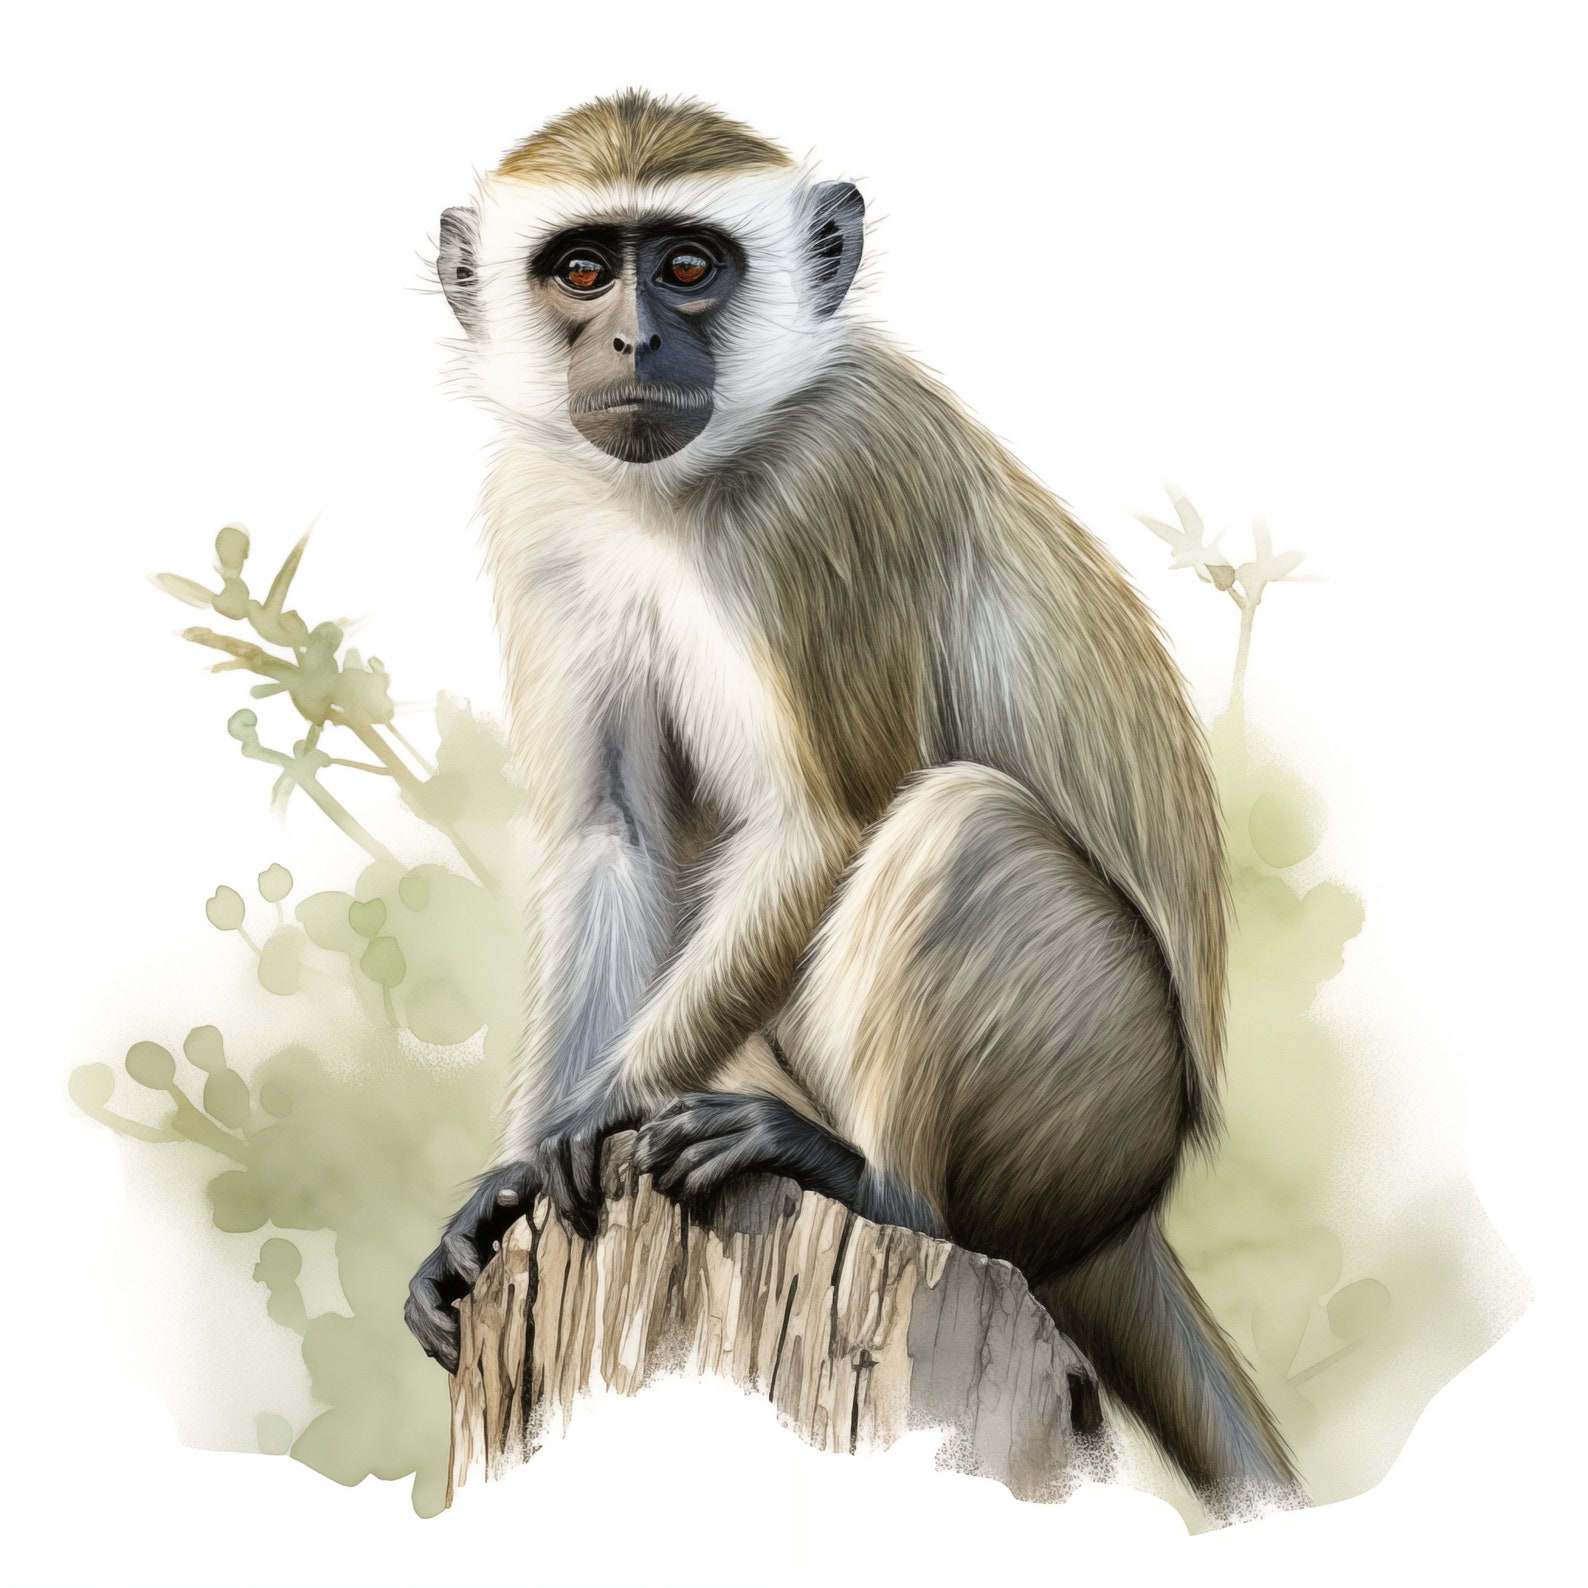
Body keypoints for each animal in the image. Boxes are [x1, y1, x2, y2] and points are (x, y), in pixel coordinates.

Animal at [404, 88, 1301, 1513]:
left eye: (690, 266)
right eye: (583, 271)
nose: (632, 337)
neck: (678, 492)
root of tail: (1129, 1209)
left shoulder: (829, 484)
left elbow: (825, 822)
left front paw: (600, 1115)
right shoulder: (541, 508)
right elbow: (613, 840)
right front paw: (500, 1192)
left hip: (1098, 1091)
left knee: (957, 826)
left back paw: (873, 1181)